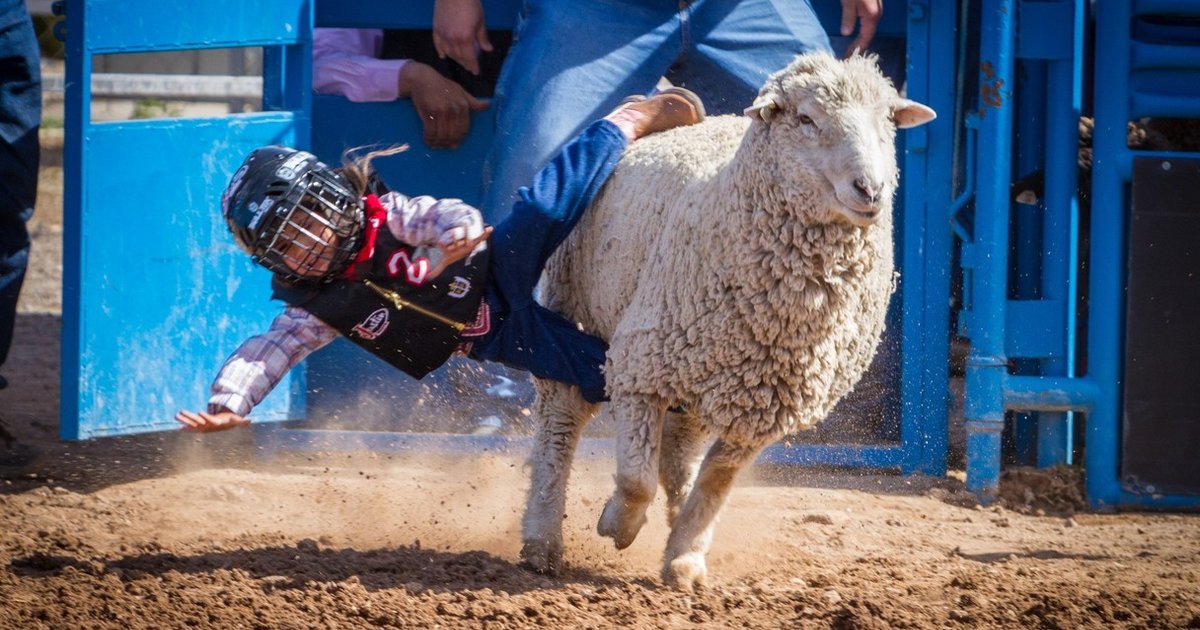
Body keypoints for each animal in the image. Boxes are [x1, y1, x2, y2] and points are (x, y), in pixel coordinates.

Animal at [519, 52, 937, 590]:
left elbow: (715, 484)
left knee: (679, 454)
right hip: (576, 314)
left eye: (887, 122)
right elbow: (635, 478)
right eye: (806, 119)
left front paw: (685, 557)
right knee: (561, 424)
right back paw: (542, 540)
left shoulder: (763, 407)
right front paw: (619, 524)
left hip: (711, 371)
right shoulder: (639, 364)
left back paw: (676, 522)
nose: (871, 189)